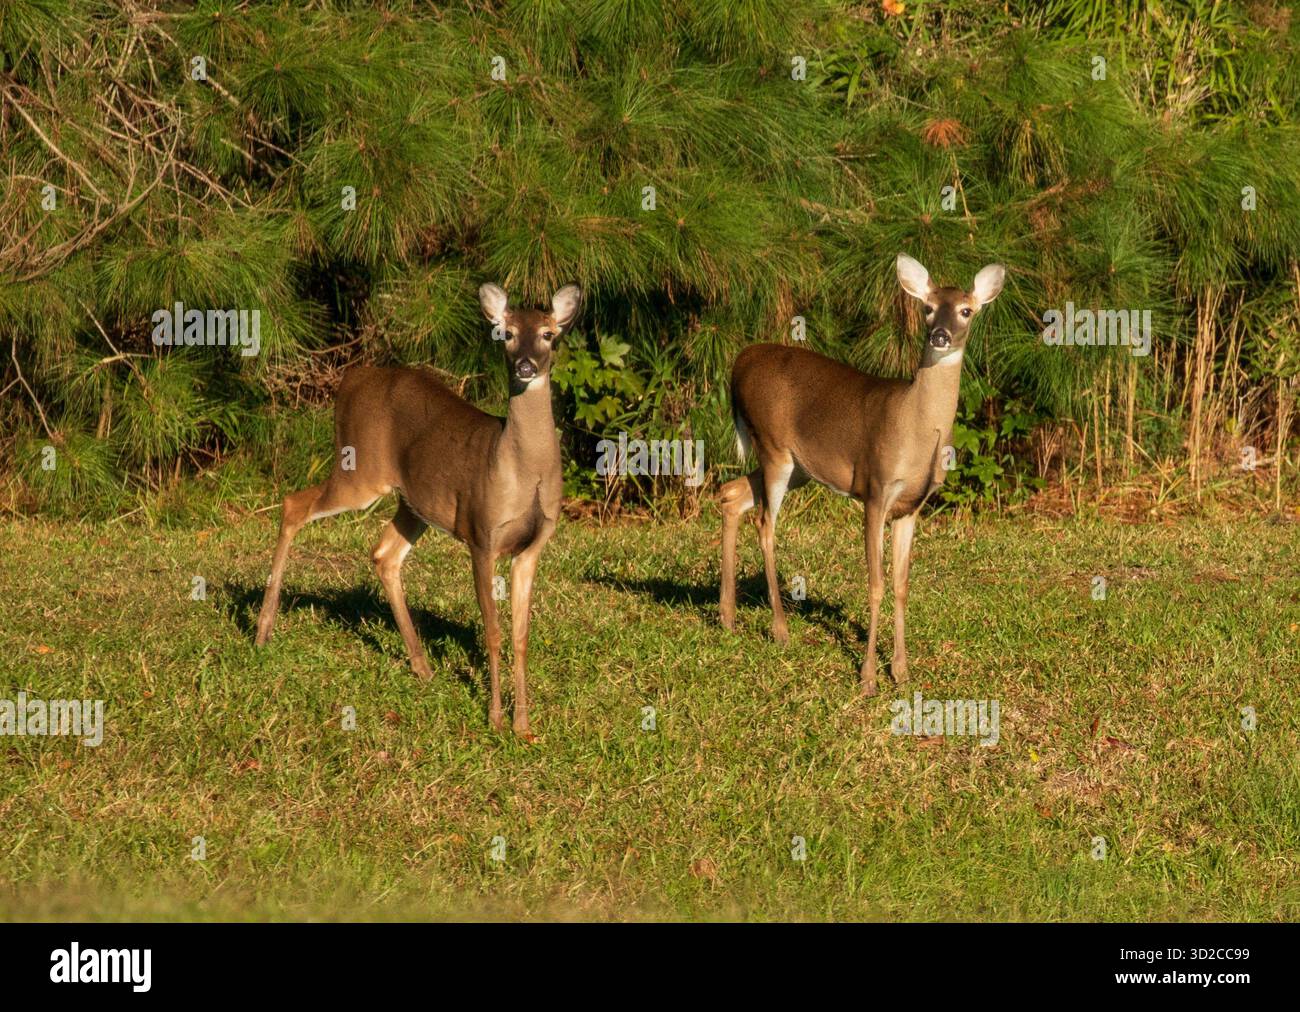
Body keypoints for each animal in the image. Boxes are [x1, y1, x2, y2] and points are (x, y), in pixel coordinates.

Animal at [254, 283, 582, 738]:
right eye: (508, 333)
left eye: (549, 334)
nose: (526, 365)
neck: (522, 468)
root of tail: (352, 378)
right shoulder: (481, 536)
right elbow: (494, 632)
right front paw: (495, 719)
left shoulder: (532, 547)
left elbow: (521, 635)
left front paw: (524, 725)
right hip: (358, 470)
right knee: (293, 505)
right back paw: (262, 630)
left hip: (413, 502)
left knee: (383, 554)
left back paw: (422, 666)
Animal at [718, 254, 1005, 696]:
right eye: (927, 307)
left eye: (966, 310)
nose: (940, 335)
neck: (914, 428)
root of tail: (740, 361)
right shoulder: (875, 489)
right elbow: (876, 584)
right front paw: (868, 676)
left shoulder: (911, 507)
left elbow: (902, 585)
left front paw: (901, 670)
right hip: (773, 447)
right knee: (766, 524)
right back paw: (780, 629)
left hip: (798, 467)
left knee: (731, 493)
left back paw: (727, 617)